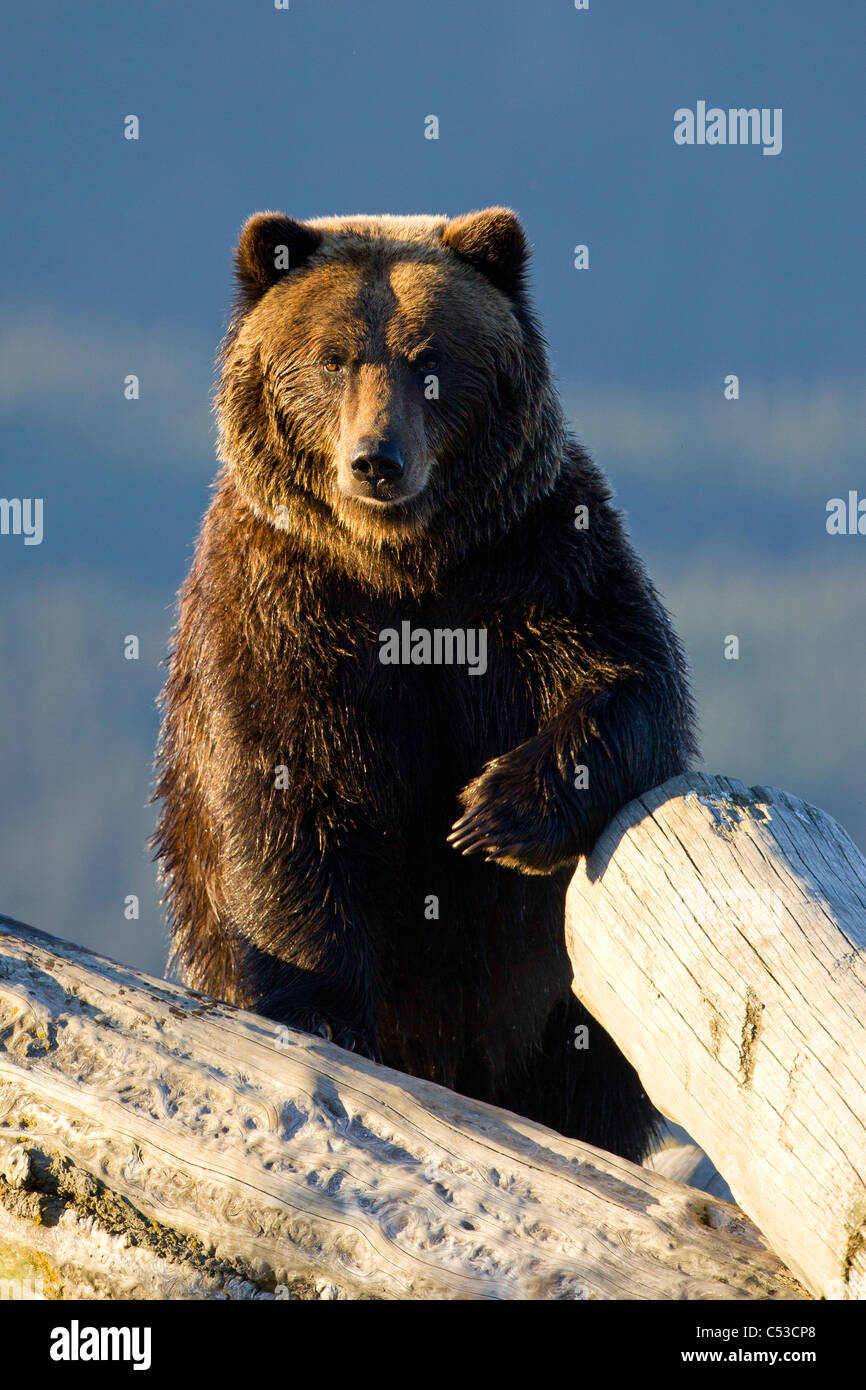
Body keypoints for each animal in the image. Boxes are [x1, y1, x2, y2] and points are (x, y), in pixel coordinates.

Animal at [153, 207, 698, 1164]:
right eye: (333, 357)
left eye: (430, 358)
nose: (378, 459)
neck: (403, 566)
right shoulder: (274, 603)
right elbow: (275, 795)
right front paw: (323, 1015)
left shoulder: (535, 562)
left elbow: (633, 683)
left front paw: (494, 812)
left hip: (565, 1005)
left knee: (588, 1070)